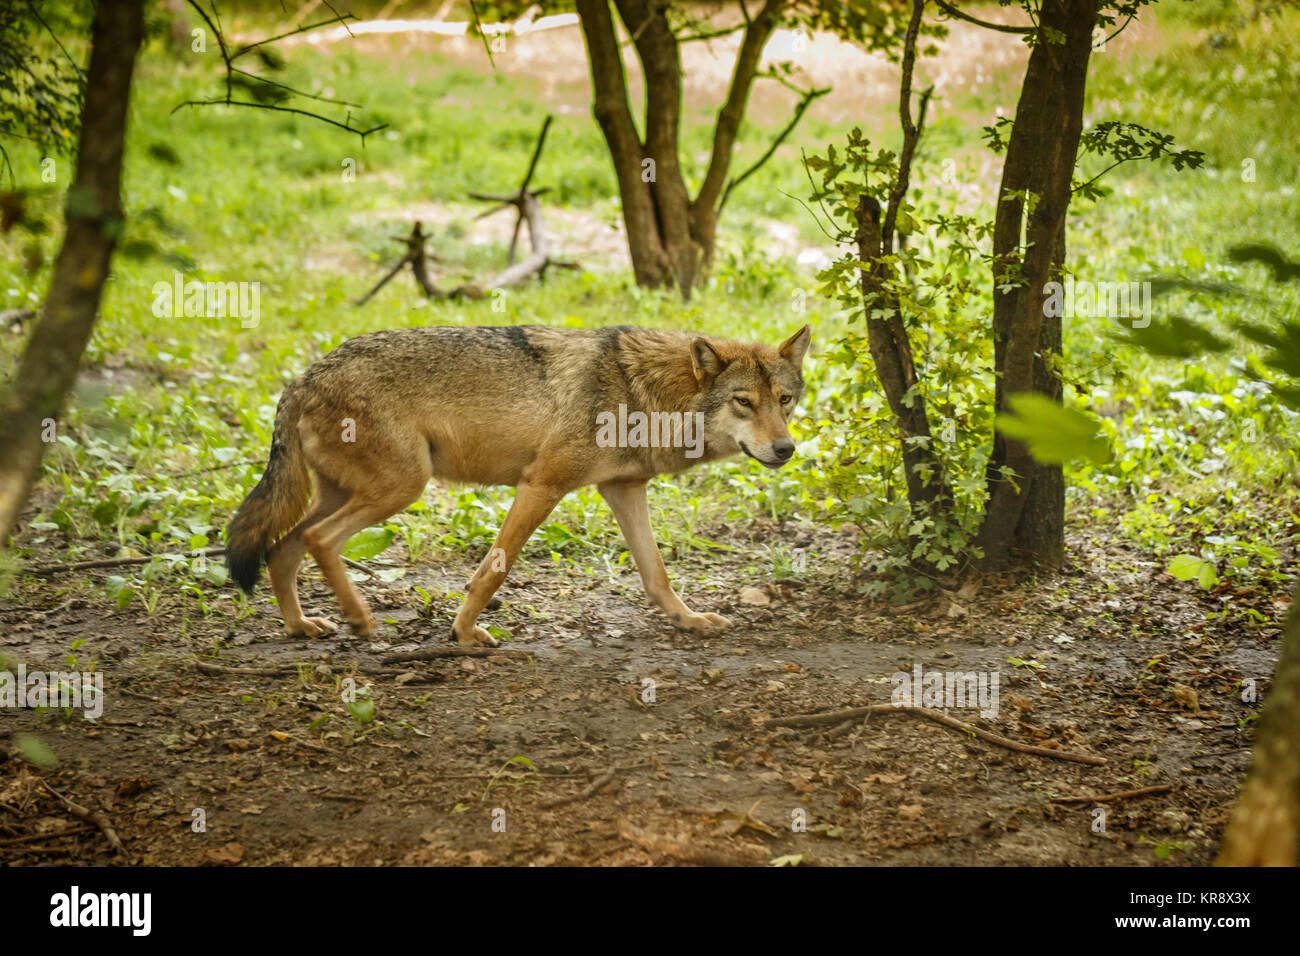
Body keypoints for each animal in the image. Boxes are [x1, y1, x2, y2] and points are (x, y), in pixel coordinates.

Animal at [225, 323, 811, 645]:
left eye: (784, 400)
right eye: (744, 402)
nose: (786, 450)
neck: (644, 392)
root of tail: (302, 378)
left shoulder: (625, 490)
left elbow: (657, 575)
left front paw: (688, 621)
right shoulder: (541, 485)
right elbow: (491, 572)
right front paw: (462, 634)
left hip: (351, 494)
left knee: (282, 548)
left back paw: (301, 626)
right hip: (401, 488)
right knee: (317, 541)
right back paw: (361, 620)